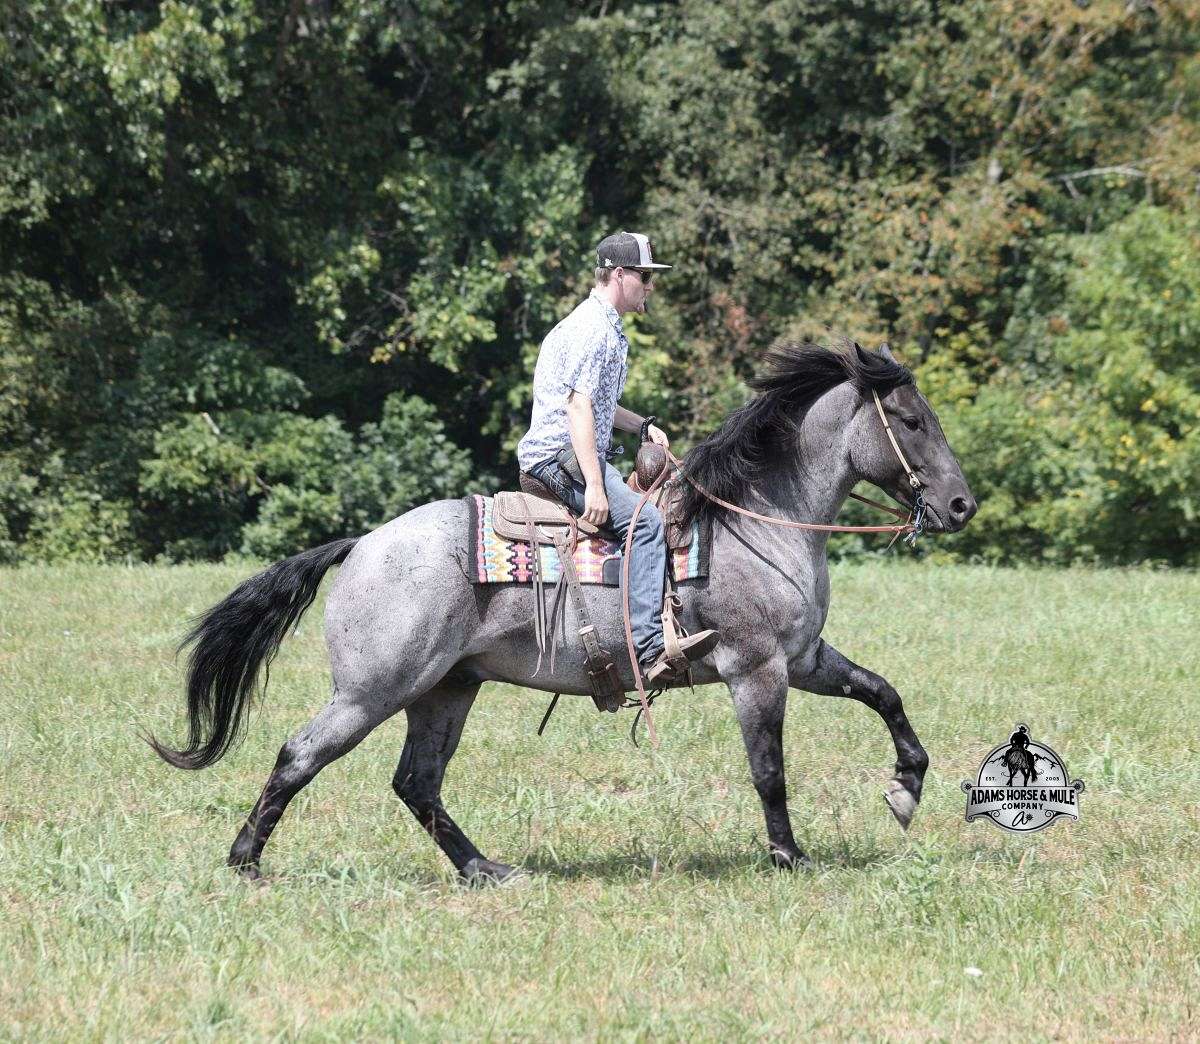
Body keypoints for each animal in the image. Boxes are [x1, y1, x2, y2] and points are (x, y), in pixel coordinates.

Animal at [150, 342, 977, 883]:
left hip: (446, 689)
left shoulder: (802, 659)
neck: (758, 518)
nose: (962, 505)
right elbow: (769, 769)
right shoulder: (756, 670)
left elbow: (884, 694)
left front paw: (907, 787)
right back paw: (246, 862)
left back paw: (485, 868)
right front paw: (790, 856)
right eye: (909, 419)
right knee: (301, 755)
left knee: (417, 783)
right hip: (371, 690)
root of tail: (362, 545)